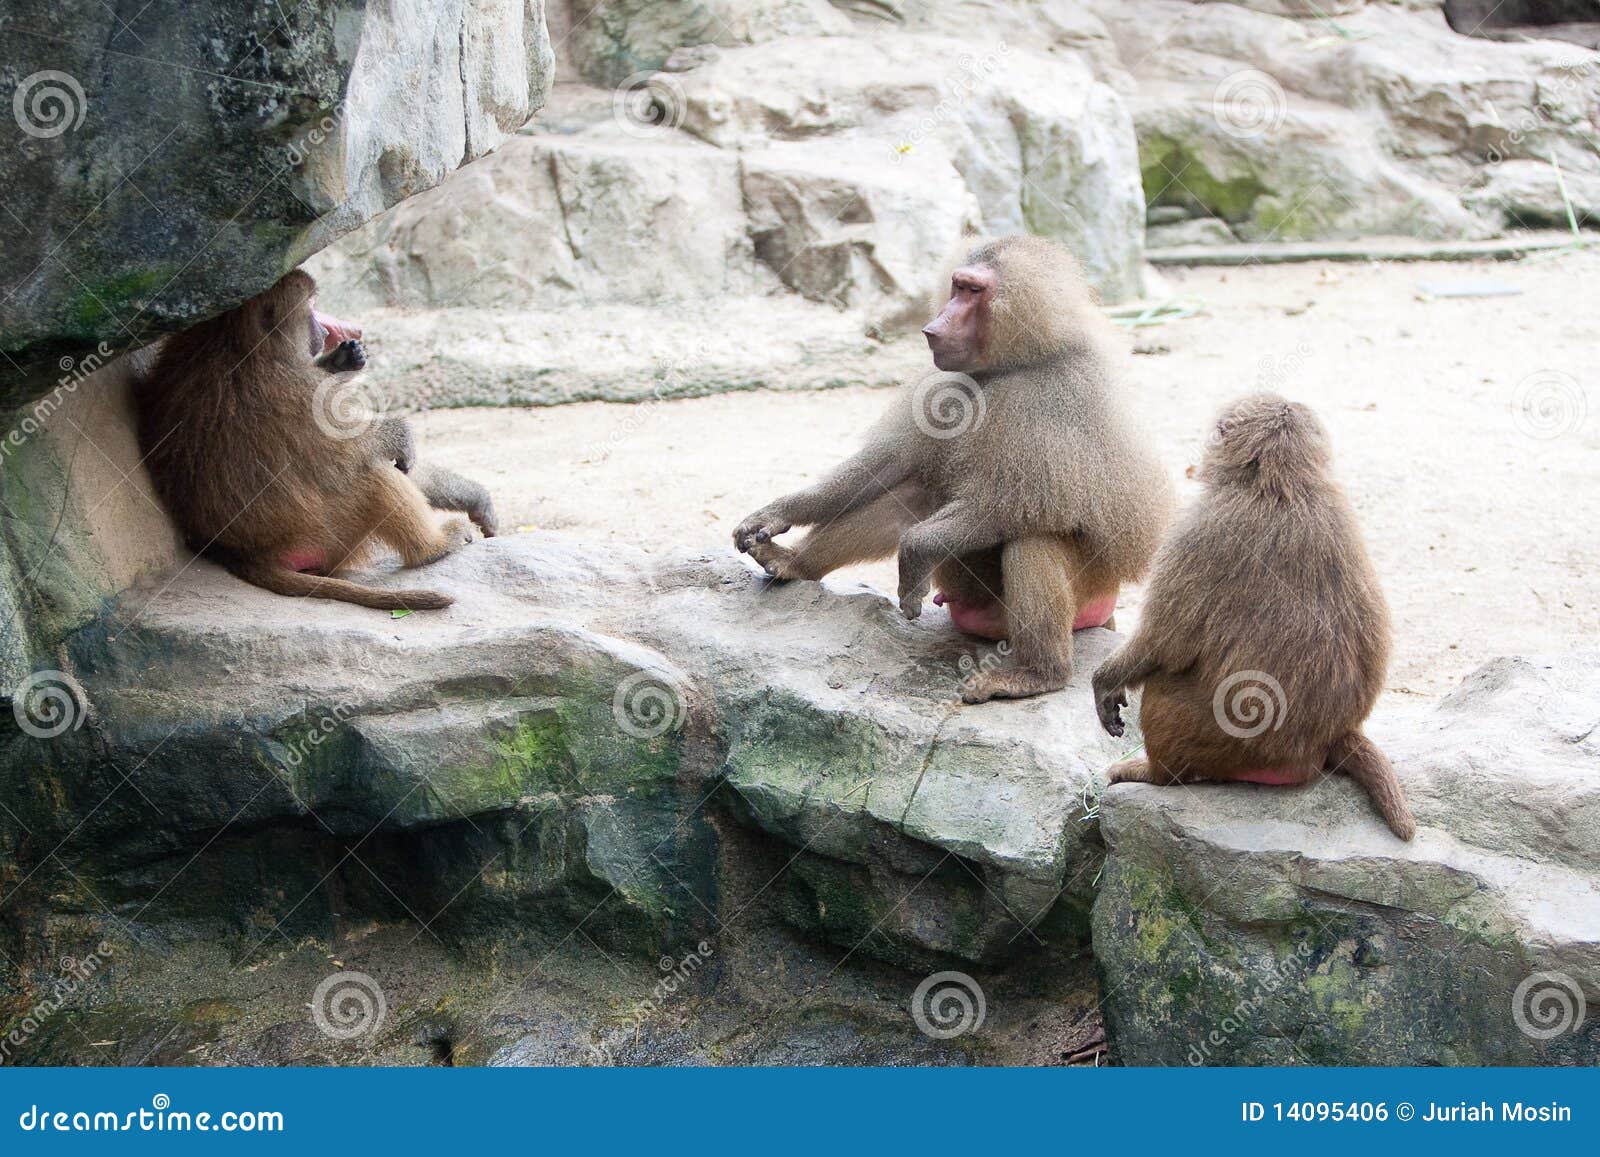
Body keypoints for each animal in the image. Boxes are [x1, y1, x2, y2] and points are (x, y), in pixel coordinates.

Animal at [137, 270, 496, 611]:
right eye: (309, 306)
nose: (325, 333)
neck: (234, 341)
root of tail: (247, 554)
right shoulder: (302, 392)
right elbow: (355, 453)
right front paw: (399, 435)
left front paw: (474, 498)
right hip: (330, 534)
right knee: (370, 473)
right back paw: (432, 548)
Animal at [733, 235, 1175, 702]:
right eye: (956, 286)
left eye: (974, 292)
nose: (932, 328)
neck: (1014, 364)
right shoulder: (946, 385)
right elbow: (887, 464)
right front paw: (776, 514)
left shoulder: (1055, 395)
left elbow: (1018, 505)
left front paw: (913, 561)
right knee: (913, 497)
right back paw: (791, 564)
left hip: (1085, 594)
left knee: (1033, 539)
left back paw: (1037, 674)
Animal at [1091, 393, 1416, 840]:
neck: (1282, 485)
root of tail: (1326, 740)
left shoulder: (1199, 529)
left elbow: (1163, 643)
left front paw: (1105, 683)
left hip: (1221, 742)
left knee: (1162, 688)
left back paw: (1150, 773)